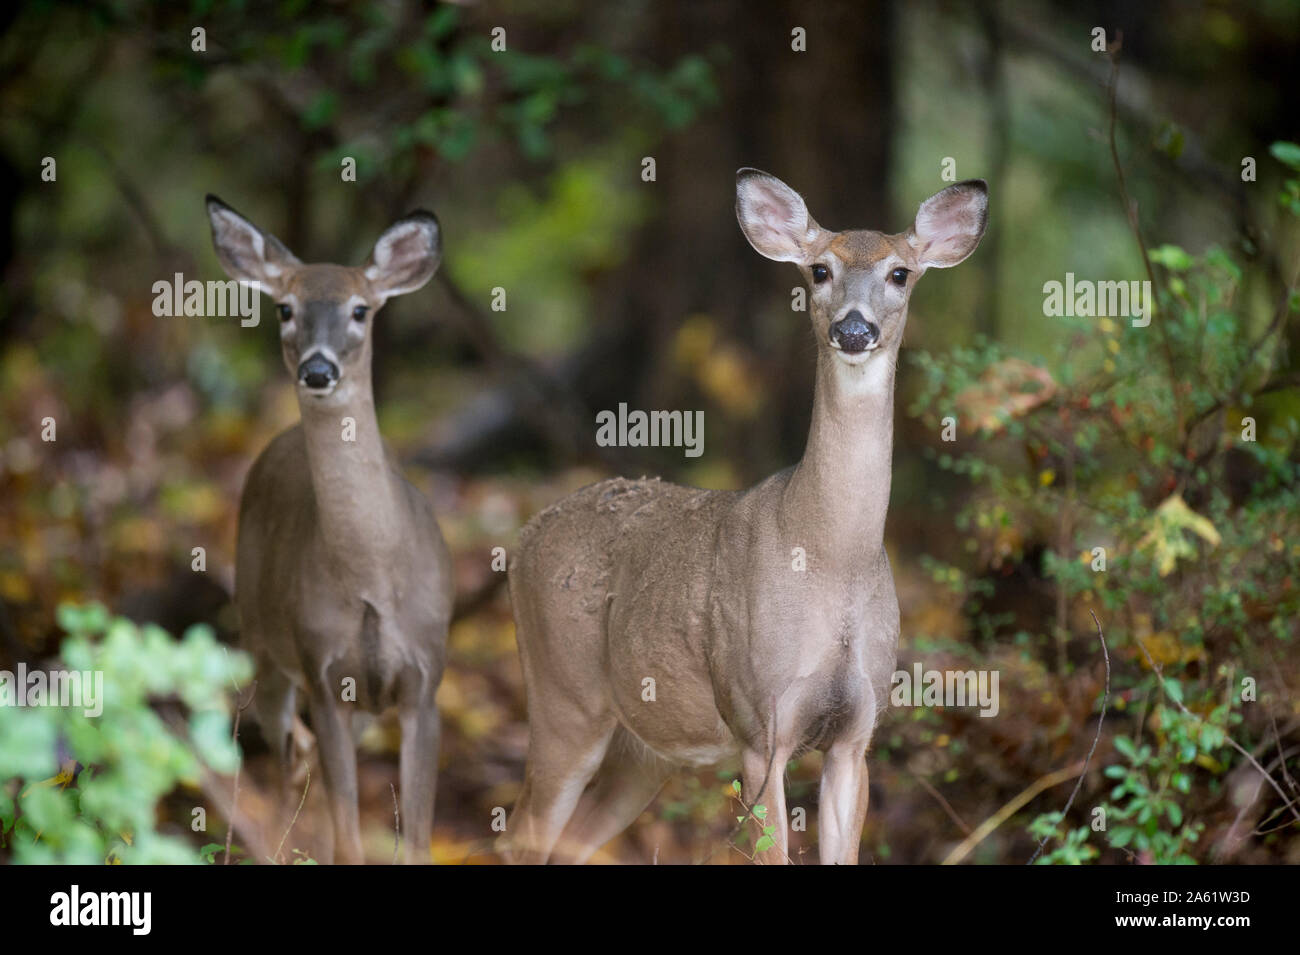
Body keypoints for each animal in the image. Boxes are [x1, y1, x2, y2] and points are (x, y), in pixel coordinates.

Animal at [206, 196, 452, 864]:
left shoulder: (425, 679)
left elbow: (417, 839)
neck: (370, 574)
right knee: (286, 753)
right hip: (263, 645)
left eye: (360, 309)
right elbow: (348, 840)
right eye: (284, 308)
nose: (318, 370)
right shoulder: (321, 673)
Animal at [503, 169, 987, 864]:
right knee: (523, 831)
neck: (828, 556)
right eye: (819, 270)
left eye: (900, 273)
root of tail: (521, 539)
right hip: (562, 693)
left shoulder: (855, 736)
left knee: (571, 841)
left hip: (643, 750)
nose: (854, 329)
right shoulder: (760, 724)